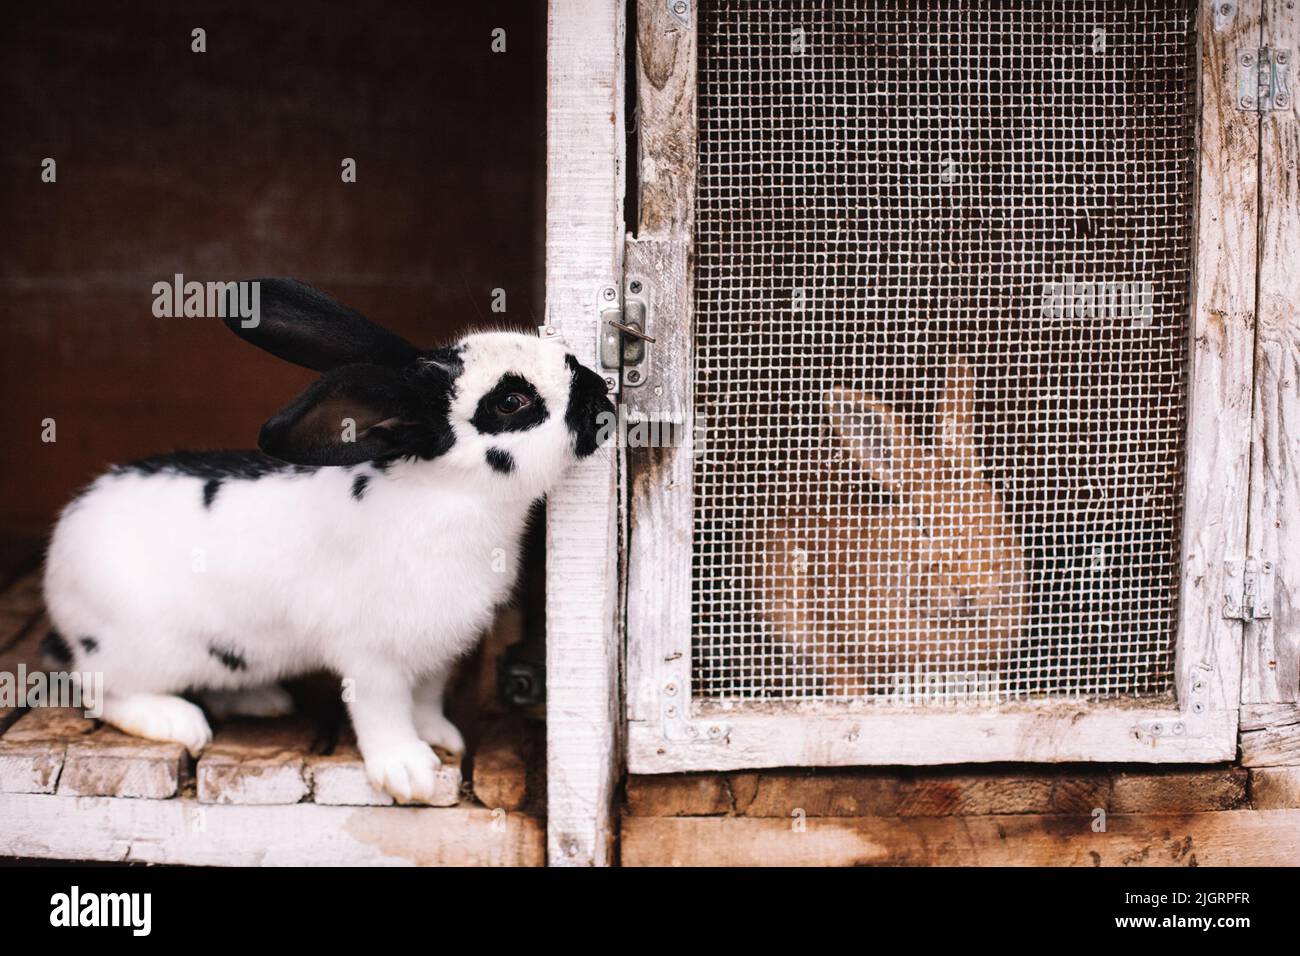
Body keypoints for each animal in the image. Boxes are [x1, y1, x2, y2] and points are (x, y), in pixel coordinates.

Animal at [42, 278, 614, 803]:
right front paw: (410, 774)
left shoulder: (435, 651)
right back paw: (177, 720)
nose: (601, 392)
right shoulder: (371, 655)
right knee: (102, 690)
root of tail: (60, 550)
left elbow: (425, 701)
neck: (449, 495)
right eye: (512, 401)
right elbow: (386, 712)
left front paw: (441, 739)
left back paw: (262, 700)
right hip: (139, 651)